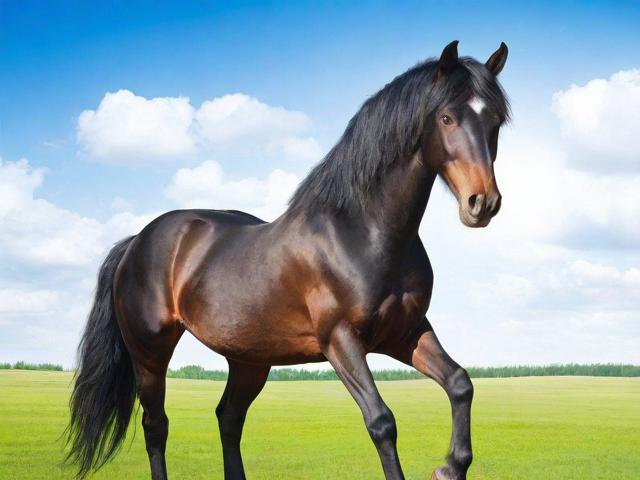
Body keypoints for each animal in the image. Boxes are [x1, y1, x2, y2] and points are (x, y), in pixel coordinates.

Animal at [66, 40, 510, 480]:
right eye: (447, 117)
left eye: (495, 122)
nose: (482, 203)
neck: (363, 233)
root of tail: (136, 242)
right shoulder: (341, 341)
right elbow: (382, 422)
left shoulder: (405, 332)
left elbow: (460, 383)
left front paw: (450, 467)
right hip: (150, 352)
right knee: (156, 426)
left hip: (248, 360)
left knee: (228, 418)